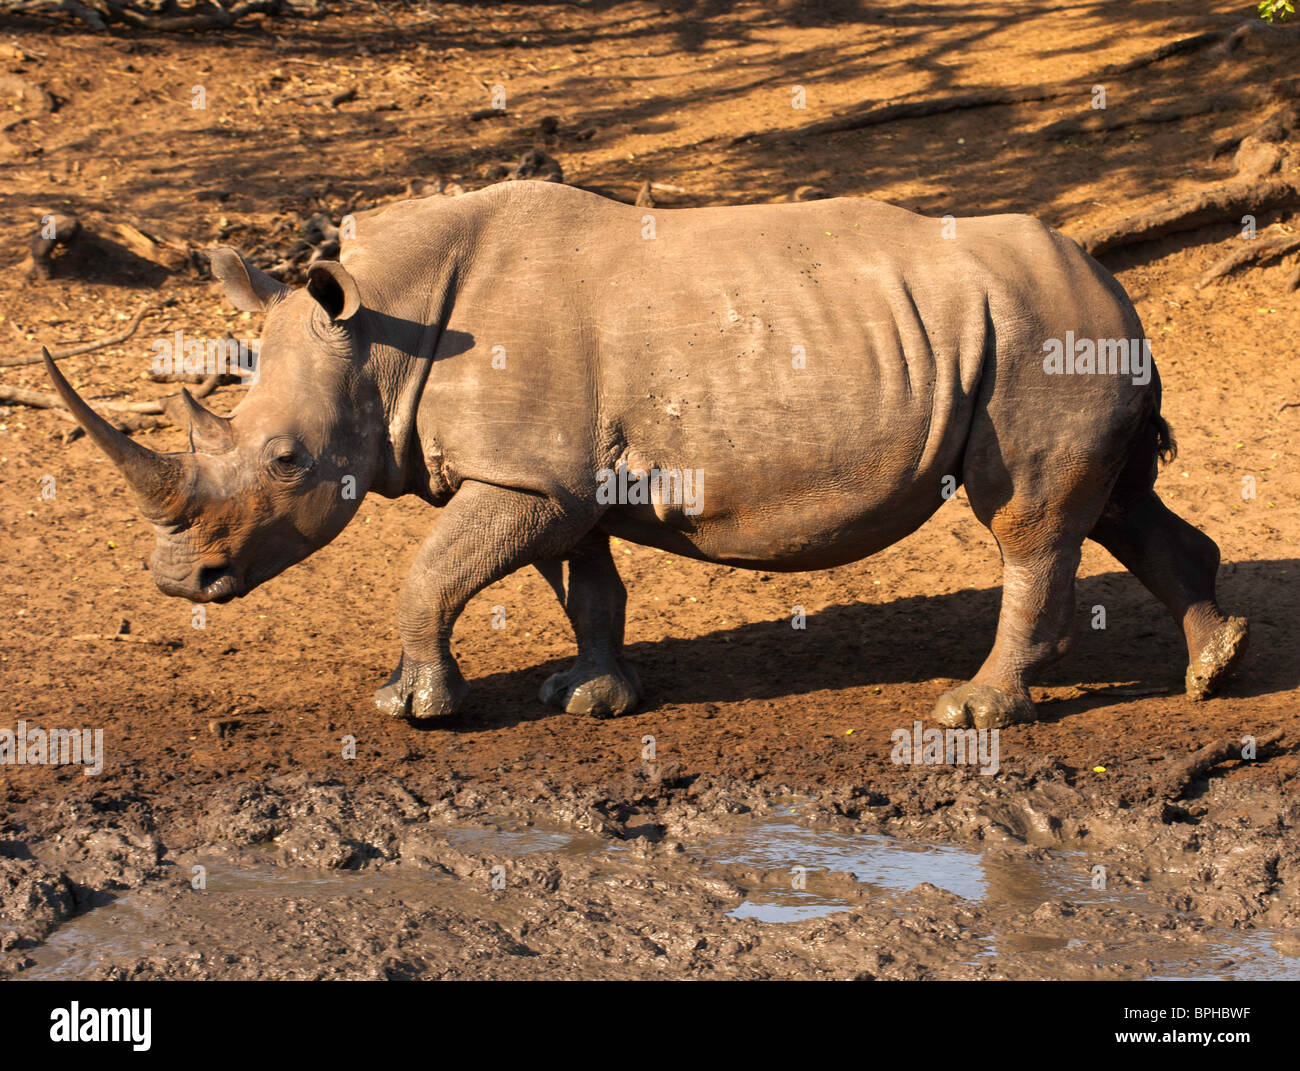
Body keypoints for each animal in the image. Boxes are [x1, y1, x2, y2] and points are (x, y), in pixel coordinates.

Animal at [45, 181, 1248, 729]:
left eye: (288, 461)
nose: (178, 580)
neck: (385, 334)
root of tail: (1115, 283)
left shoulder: (525, 473)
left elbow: (428, 572)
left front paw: (413, 708)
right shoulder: (550, 475)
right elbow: (586, 586)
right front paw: (589, 697)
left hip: (1039, 336)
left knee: (1031, 524)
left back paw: (971, 713)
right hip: (1067, 332)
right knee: (1116, 506)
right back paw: (1212, 671)